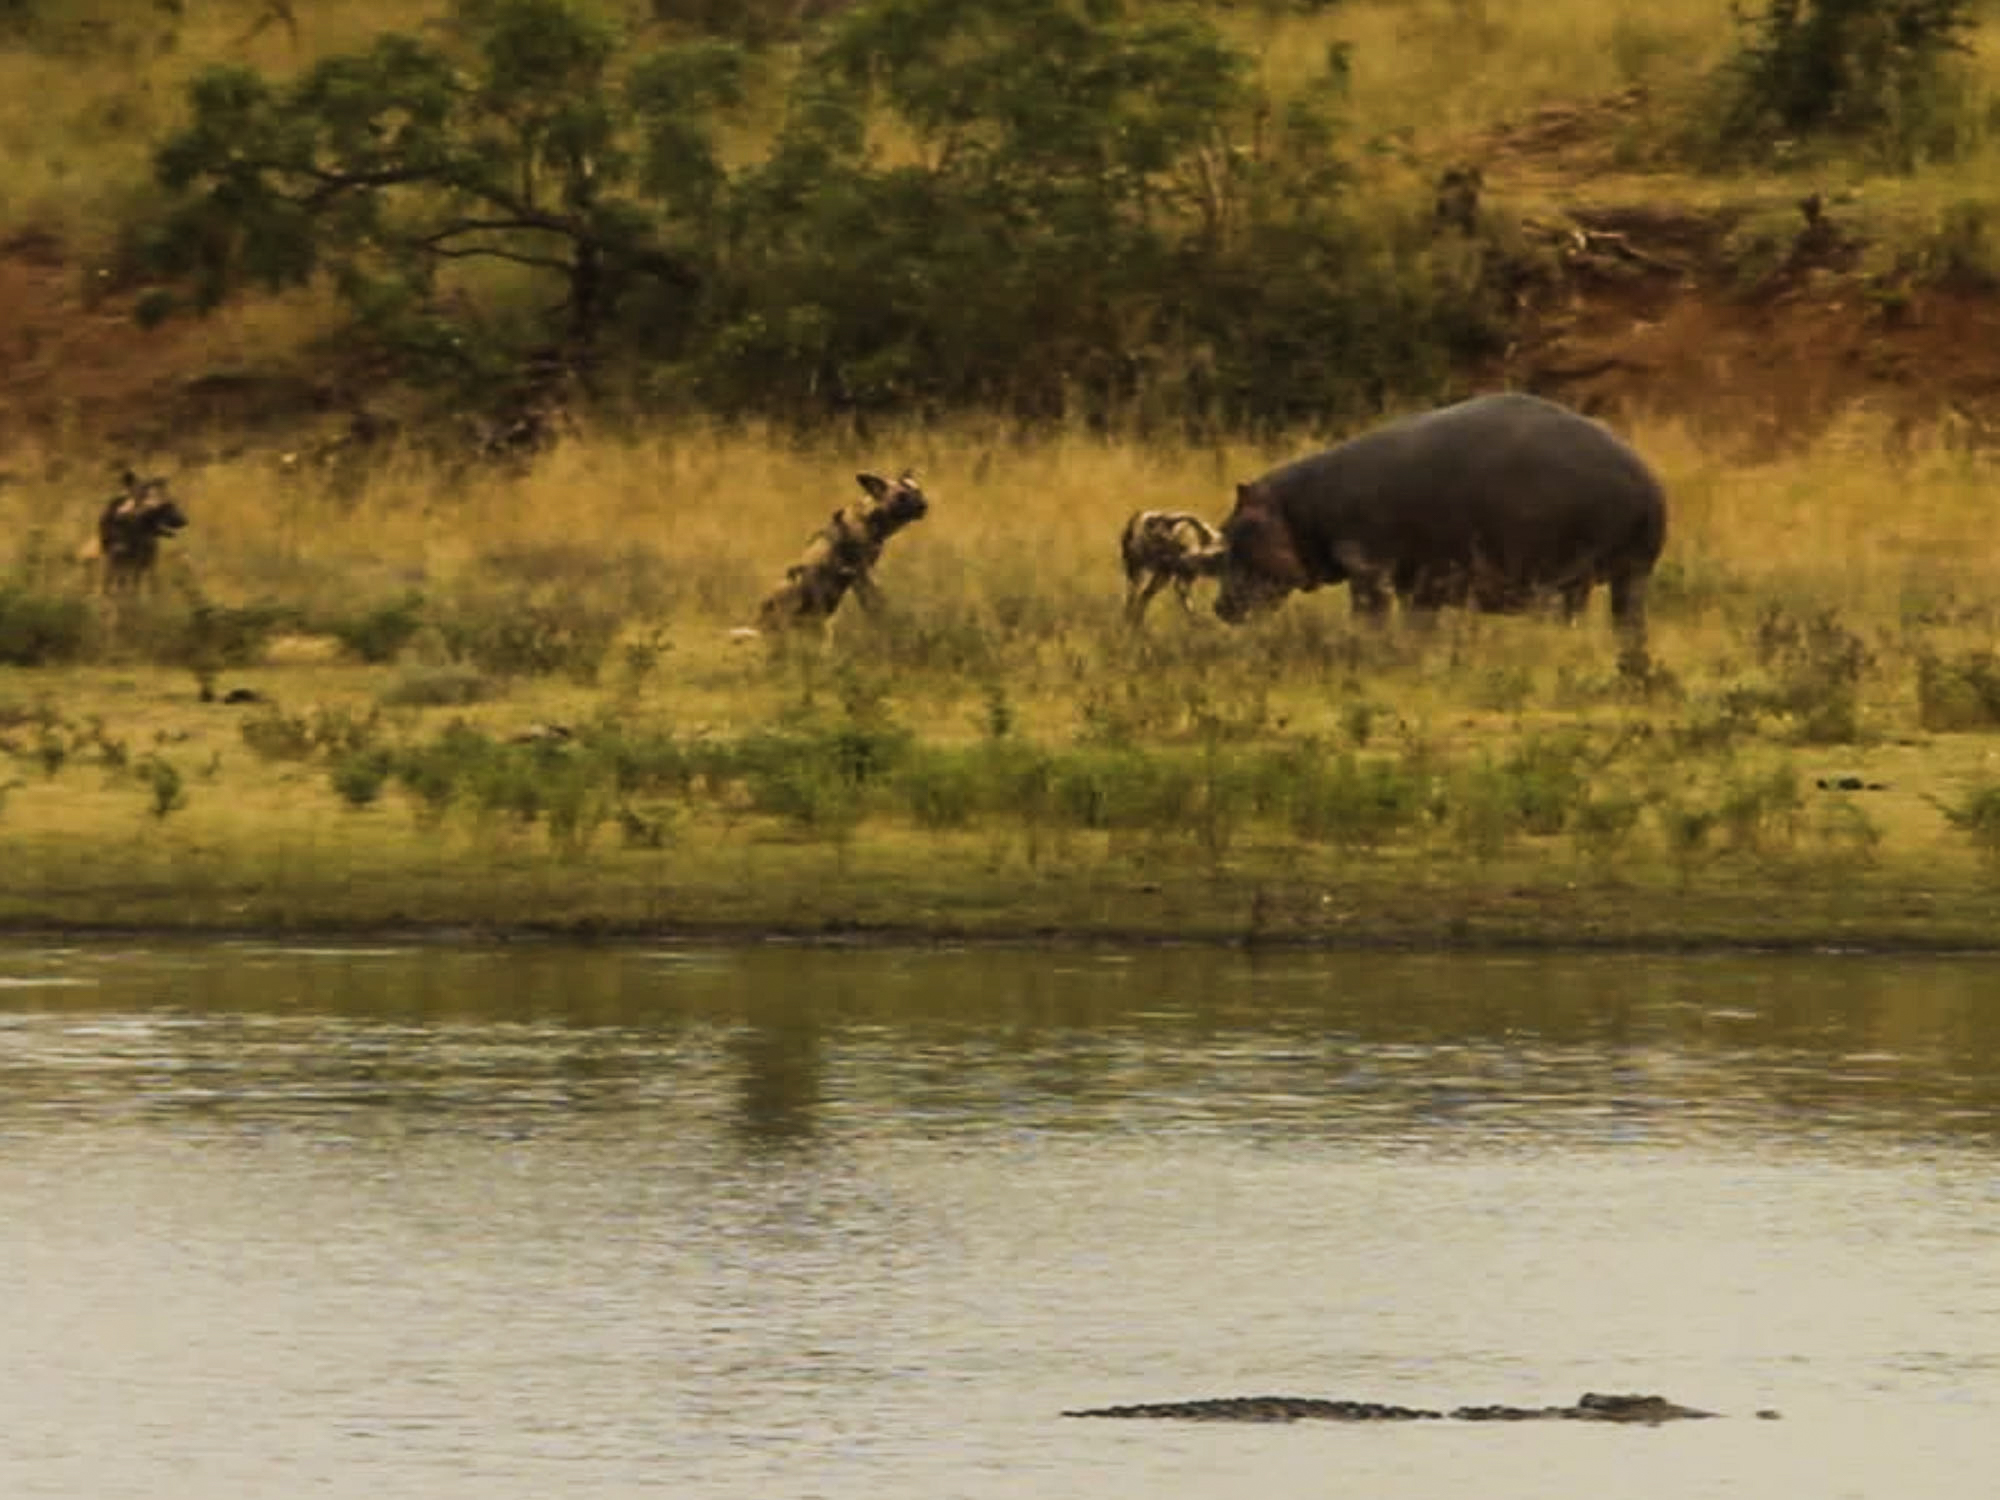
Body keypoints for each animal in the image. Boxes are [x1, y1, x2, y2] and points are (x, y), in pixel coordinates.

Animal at [1212, 393, 1667, 658]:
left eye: (1235, 531)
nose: (1218, 608)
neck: (1299, 508)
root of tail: (1646, 480)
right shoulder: (1423, 582)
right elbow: (1419, 626)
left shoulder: (1368, 568)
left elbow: (1369, 617)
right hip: (1632, 574)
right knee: (1629, 624)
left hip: (1566, 577)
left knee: (1569, 617)